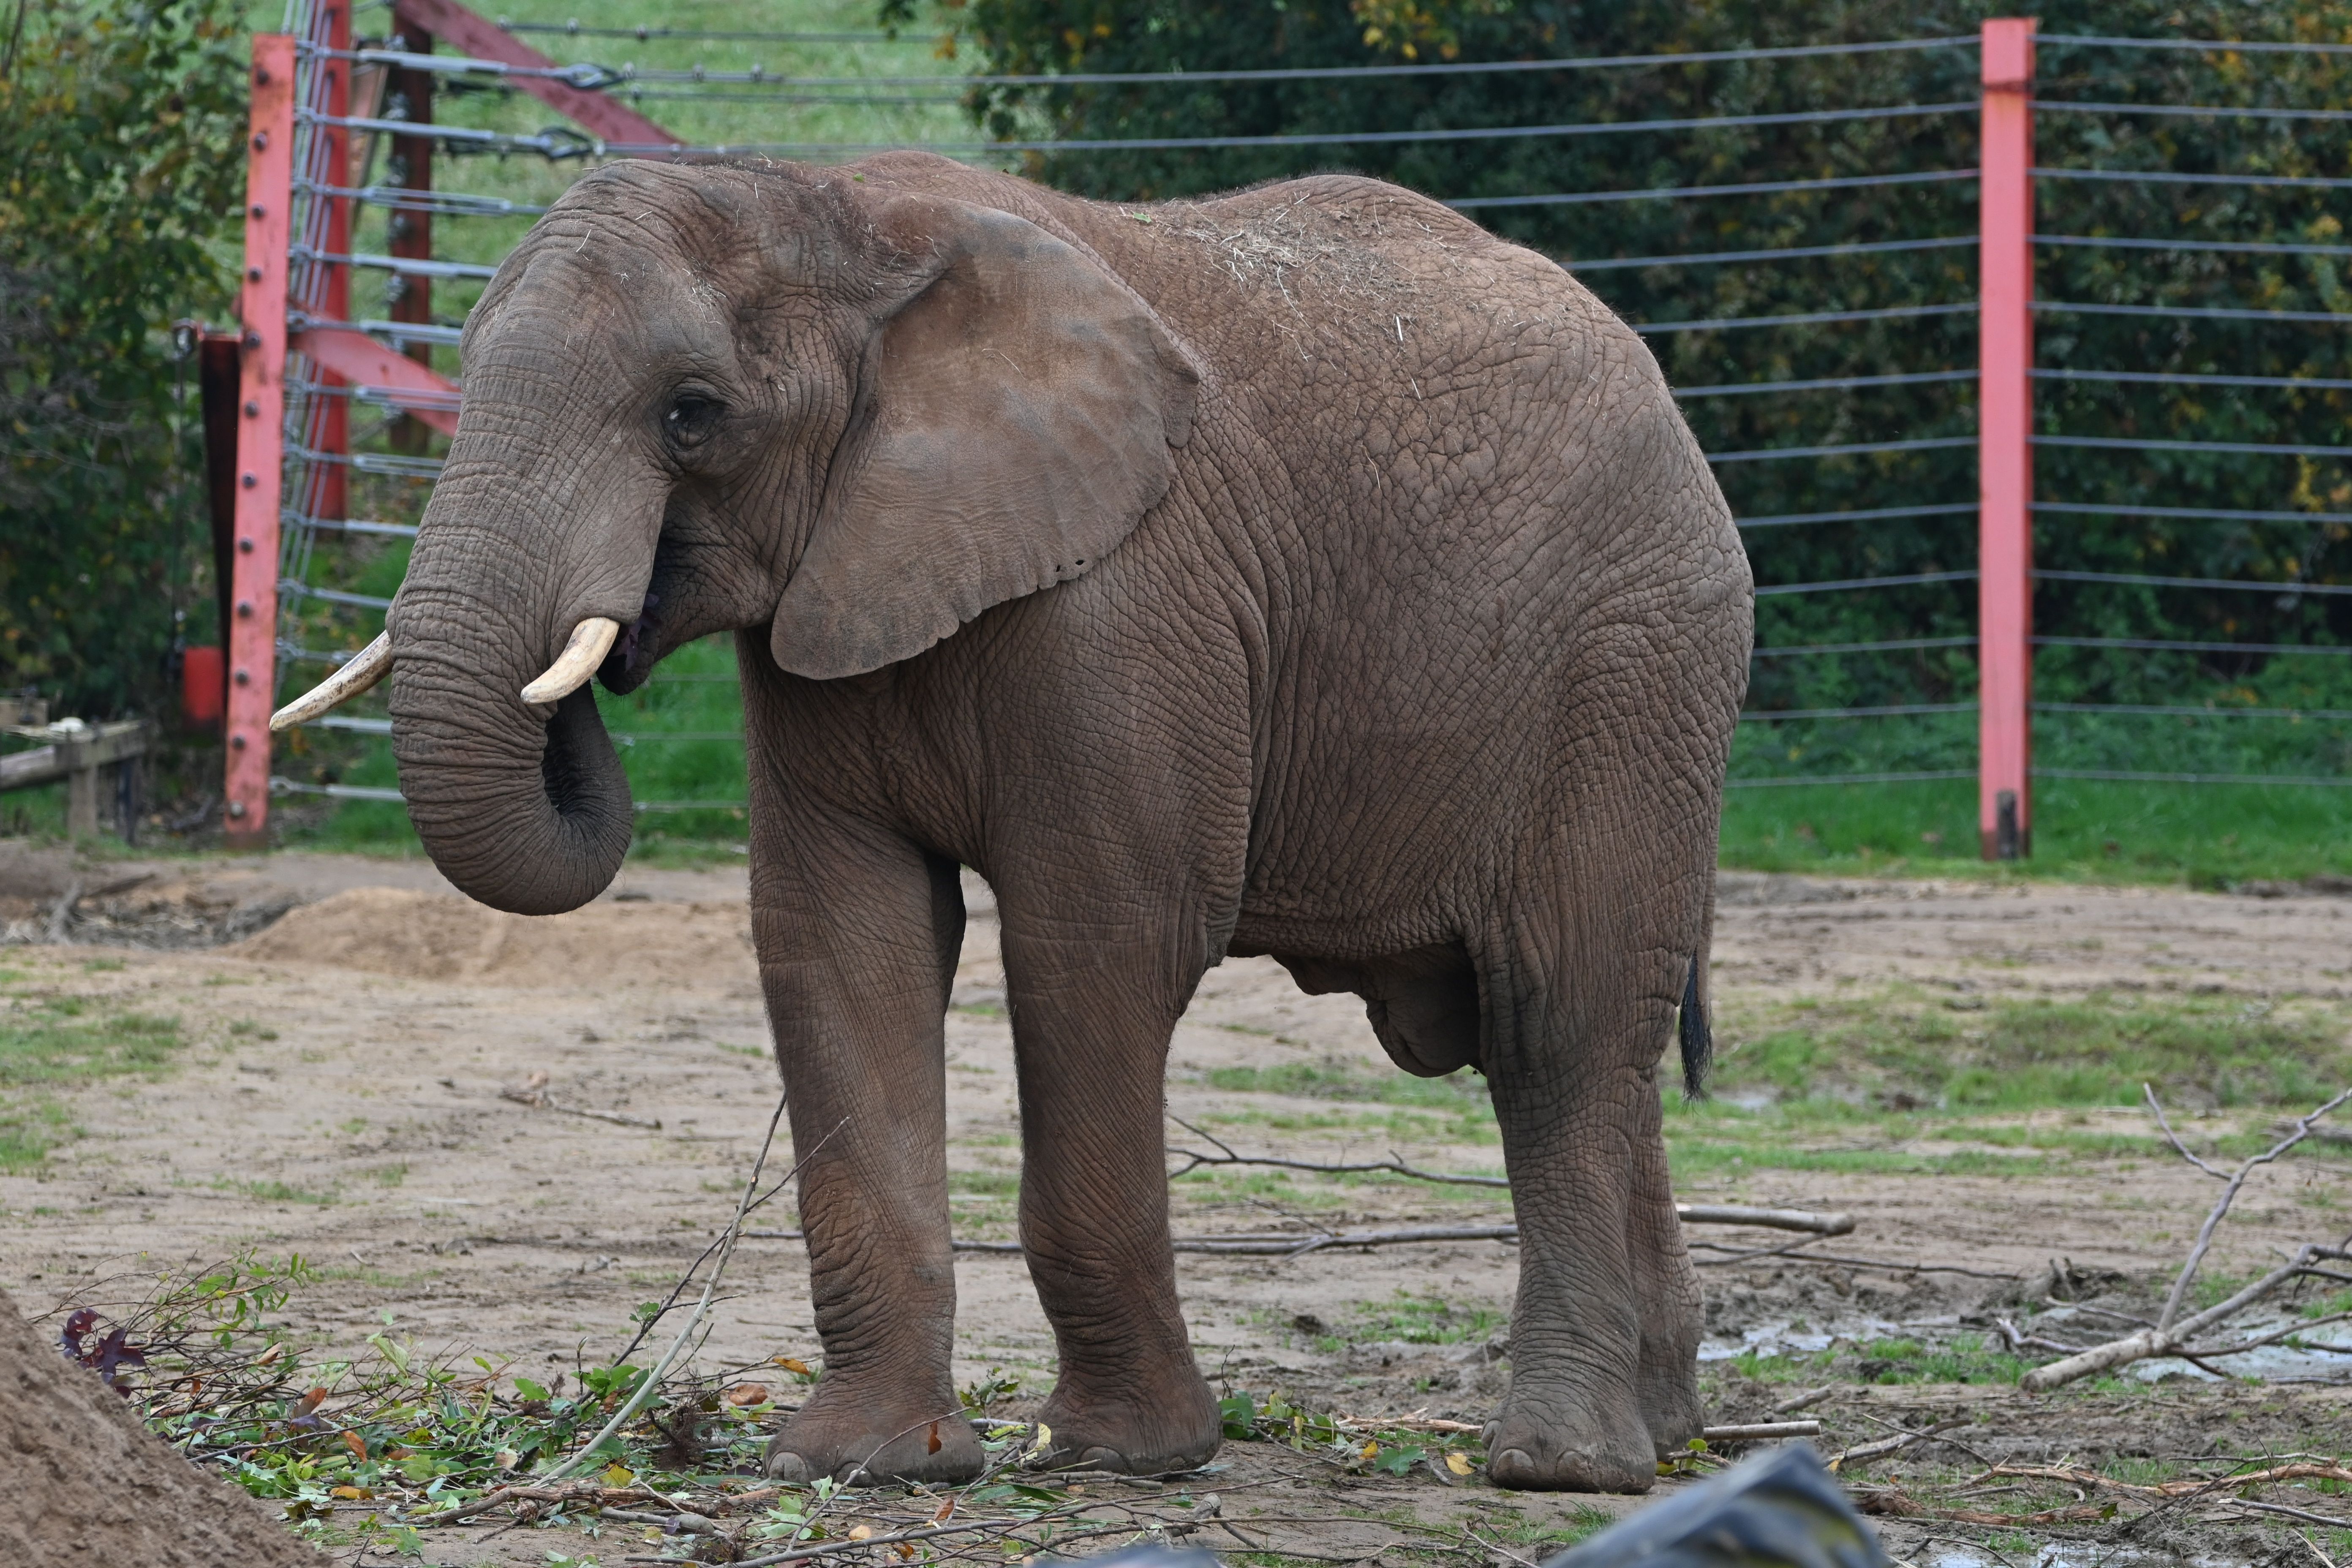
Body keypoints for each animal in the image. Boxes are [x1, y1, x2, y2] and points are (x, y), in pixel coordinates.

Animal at [276, 150, 1752, 1492]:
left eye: (692, 414)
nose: (616, 631)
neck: (837, 212)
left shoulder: (1124, 602)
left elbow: (1095, 944)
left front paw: (1124, 1458)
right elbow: (841, 939)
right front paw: (863, 1463)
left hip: (1635, 667)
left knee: (1558, 1022)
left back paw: (1561, 1467)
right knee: (1576, 1042)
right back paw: (1667, 1429)